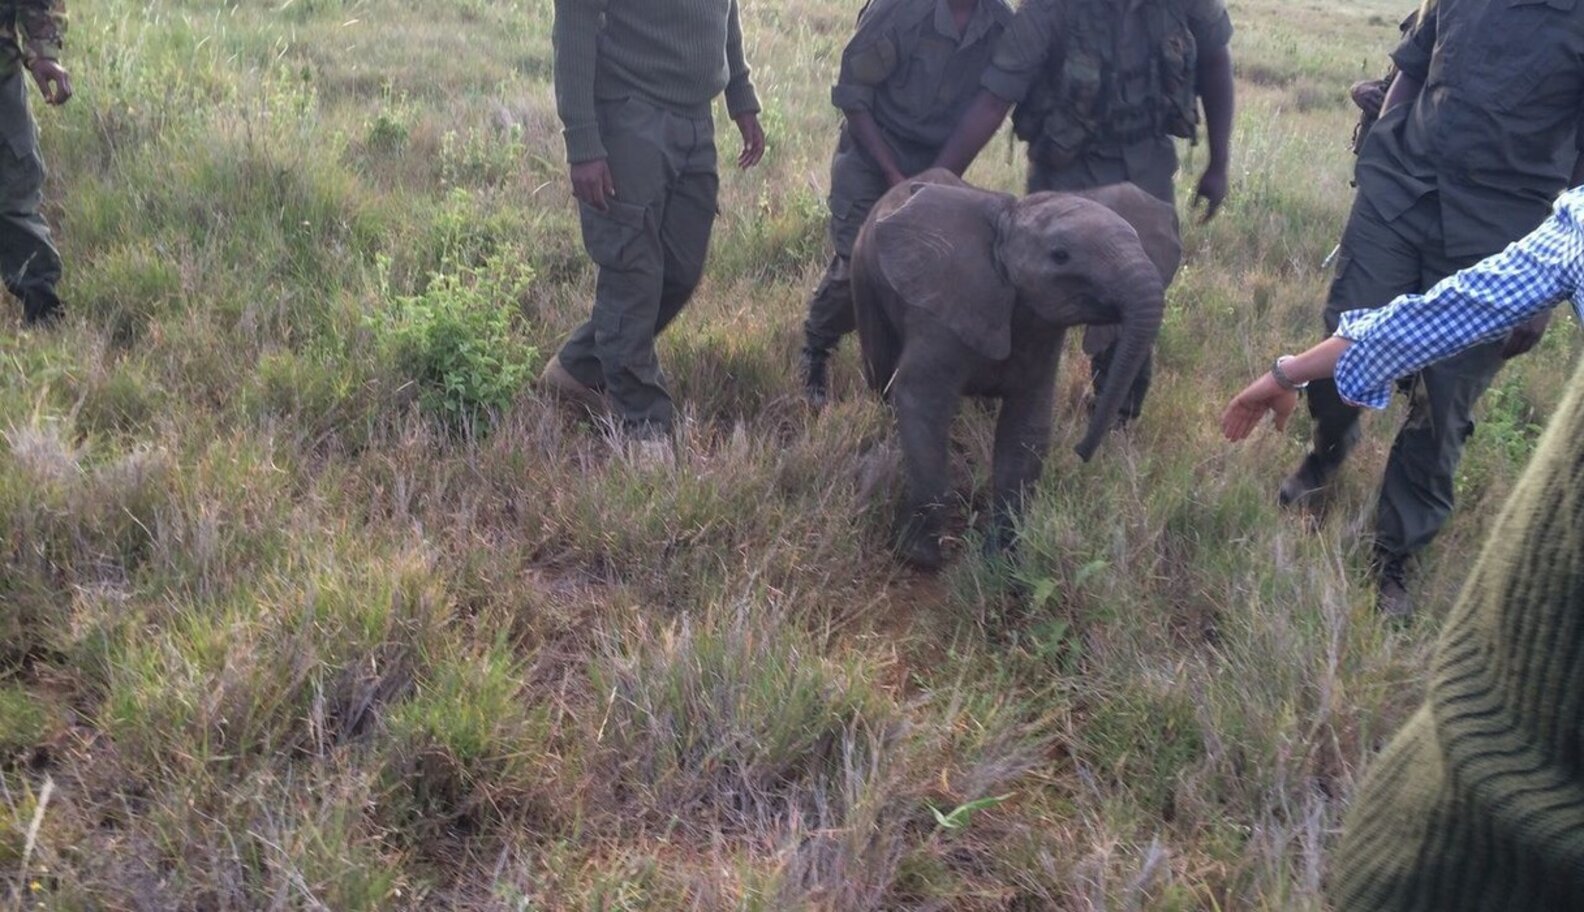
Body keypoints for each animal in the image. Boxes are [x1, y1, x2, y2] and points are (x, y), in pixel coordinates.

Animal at [850, 168, 1172, 568]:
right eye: (1060, 255)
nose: (1081, 452)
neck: (1008, 221)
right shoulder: (942, 317)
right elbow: (920, 404)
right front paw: (920, 556)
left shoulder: (1041, 330)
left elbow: (1026, 428)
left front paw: (1001, 561)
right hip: (864, 274)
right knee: (880, 370)